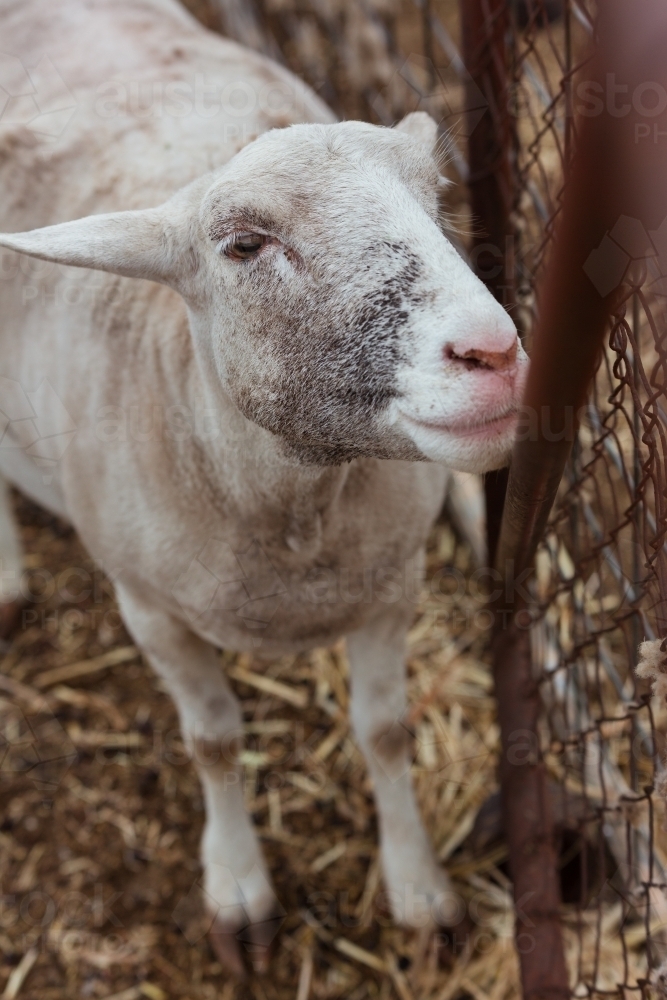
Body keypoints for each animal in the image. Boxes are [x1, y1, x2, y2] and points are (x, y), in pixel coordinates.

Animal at [0, 0, 528, 976]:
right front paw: (239, 890)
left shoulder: (389, 588)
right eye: (245, 245)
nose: (493, 351)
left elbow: (385, 732)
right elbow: (212, 740)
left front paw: (419, 891)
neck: (289, 516)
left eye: (437, 206)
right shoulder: (149, 609)